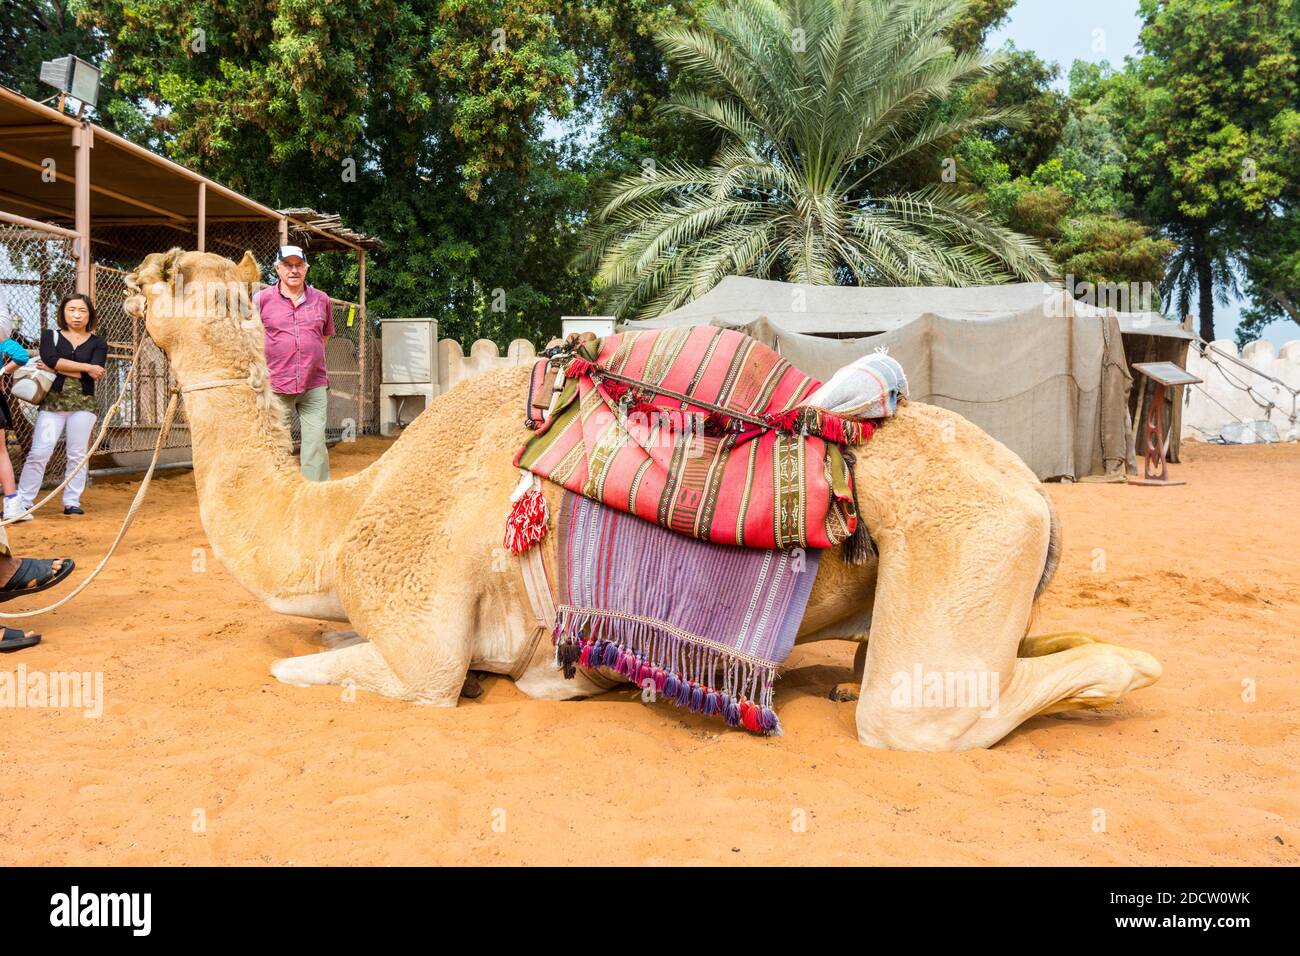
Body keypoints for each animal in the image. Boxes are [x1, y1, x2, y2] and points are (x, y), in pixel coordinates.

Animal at [124, 249, 1161, 752]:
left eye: (172, 275)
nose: (124, 279)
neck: (339, 523)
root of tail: (1037, 495)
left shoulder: (421, 653)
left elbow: (301, 669)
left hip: (966, 555)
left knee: (926, 709)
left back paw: (1124, 672)